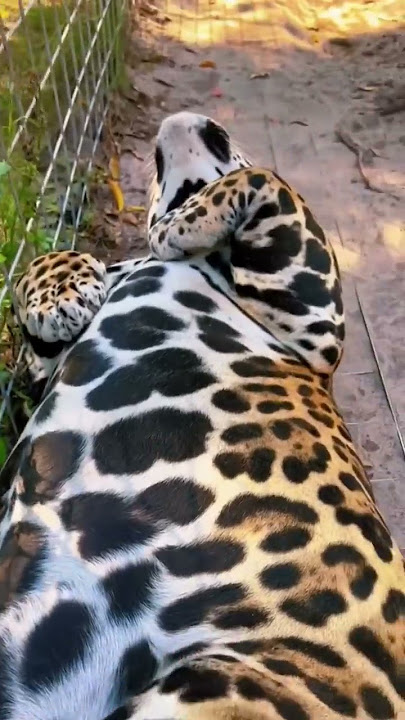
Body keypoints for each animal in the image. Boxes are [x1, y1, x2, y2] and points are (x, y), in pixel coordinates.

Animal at [0, 110, 404, 720]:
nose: (194, 119)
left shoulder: (314, 319)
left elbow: (268, 179)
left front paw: (182, 224)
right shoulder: (37, 370)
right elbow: (38, 267)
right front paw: (63, 291)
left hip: (227, 684)